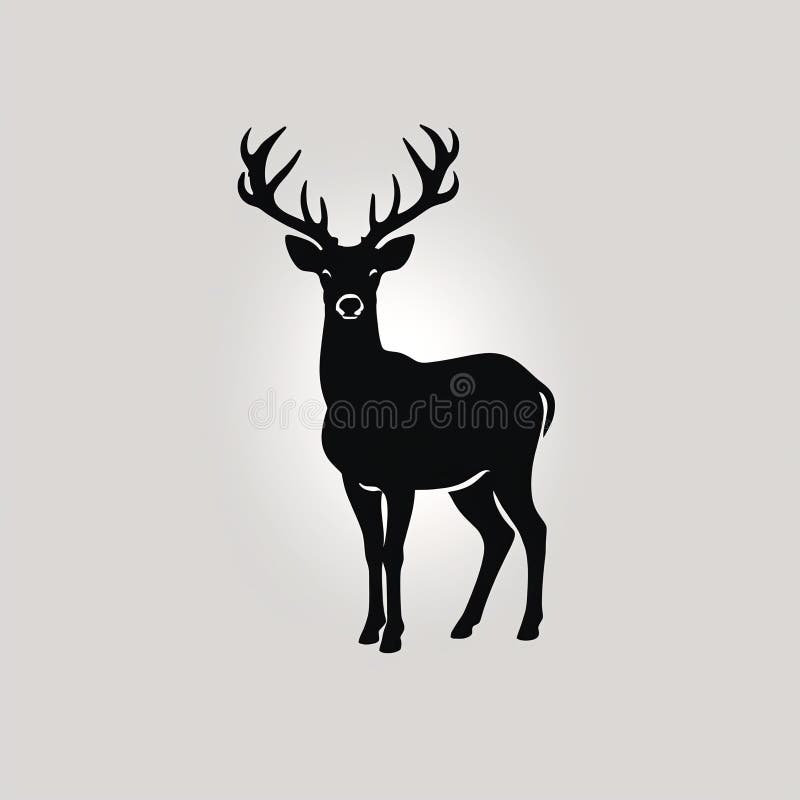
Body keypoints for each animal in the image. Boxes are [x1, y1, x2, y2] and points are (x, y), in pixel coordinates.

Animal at [239, 125, 555, 653]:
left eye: (374, 272)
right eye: (326, 271)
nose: (349, 303)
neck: (360, 403)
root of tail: (540, 387)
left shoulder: (401, 477)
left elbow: (394, 551)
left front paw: (394, 636)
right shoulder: (354, 479)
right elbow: (370, 549)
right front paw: (368, 630)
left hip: (514, 460)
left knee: (534, 527)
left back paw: (527, 627)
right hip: (471, 481)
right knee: (498, 535)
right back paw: (463, 624)